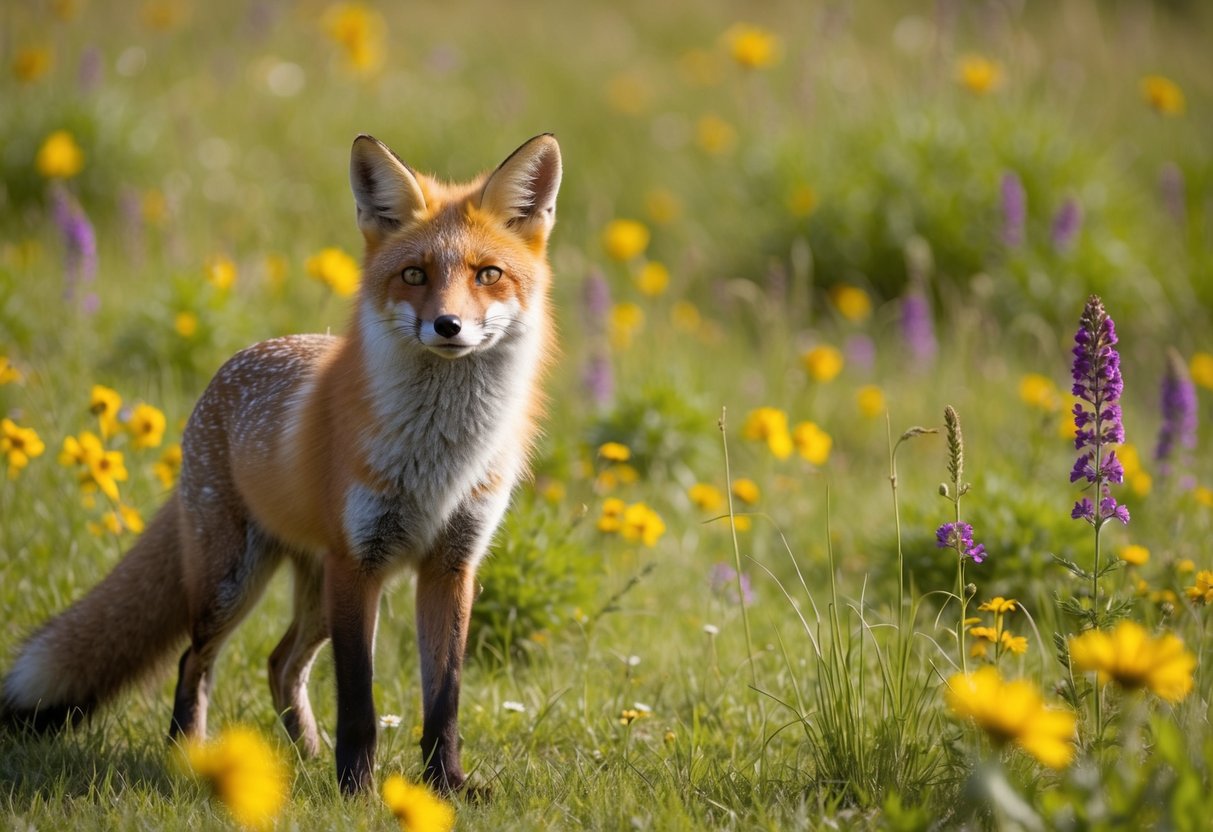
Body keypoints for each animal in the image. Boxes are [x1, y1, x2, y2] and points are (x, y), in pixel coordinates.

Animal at [1, 132, 562, 795]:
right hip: (234, 582)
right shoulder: (359, 562)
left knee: (279, 661)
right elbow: (359, 700)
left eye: (488, 274)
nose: (447, 325)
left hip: (317, 596)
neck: (440, 461)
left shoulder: (451, 565)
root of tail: (229, 368)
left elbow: (443, 699)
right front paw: (357, 791)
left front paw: (444, 785)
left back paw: (306, 752)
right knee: (195, 660)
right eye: (415, 274)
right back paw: (189, 755)